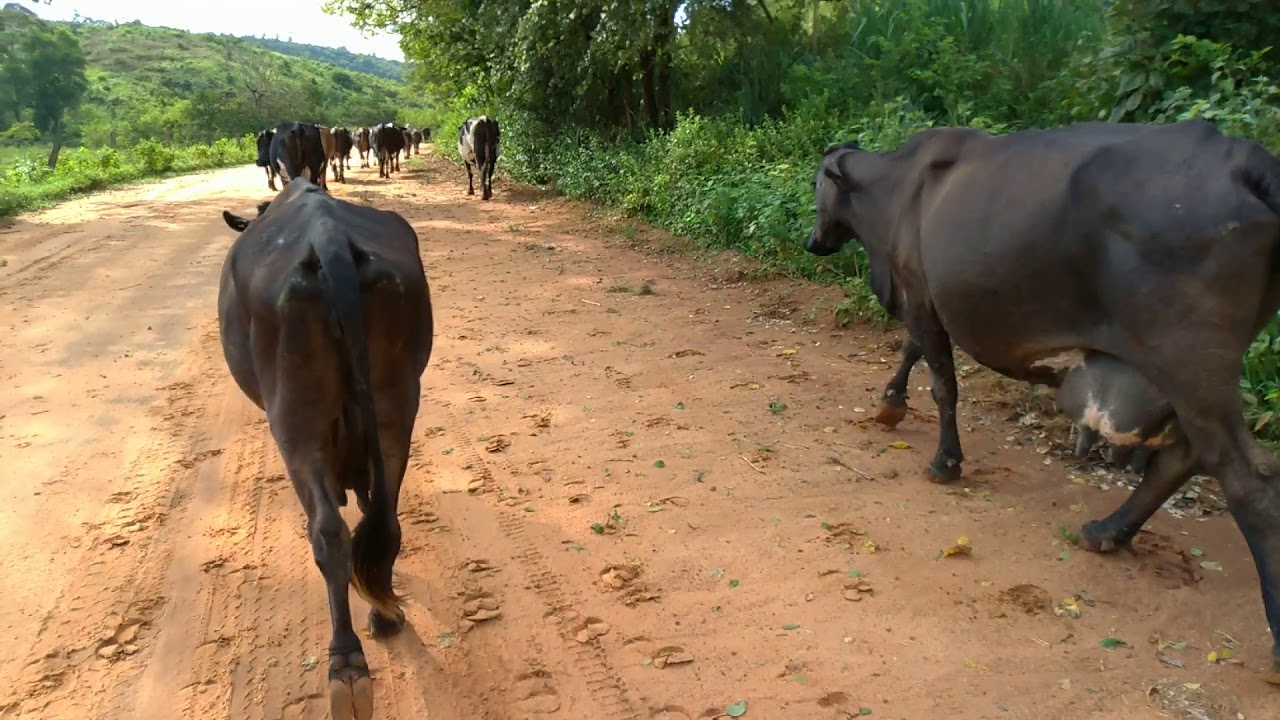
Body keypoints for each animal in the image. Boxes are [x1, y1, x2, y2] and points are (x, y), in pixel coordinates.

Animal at [217, 178, 434, 720]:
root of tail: (329, 240)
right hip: (396, 405)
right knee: (383, 521)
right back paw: (384, 614)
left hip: (295, 422)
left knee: (329, 533)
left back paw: (347, 664)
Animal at [805, 117, 1280, 683]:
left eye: (816, 184)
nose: (812, 240)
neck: (892, 186)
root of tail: (1246, 161)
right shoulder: (926, 300)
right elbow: (913, 350)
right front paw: (890, 404)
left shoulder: (919, 292)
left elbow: (941, 381)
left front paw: (945, 460)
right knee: (1184, 457)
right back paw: (1109, 531)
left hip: (1189, 359)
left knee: (1246, 478)